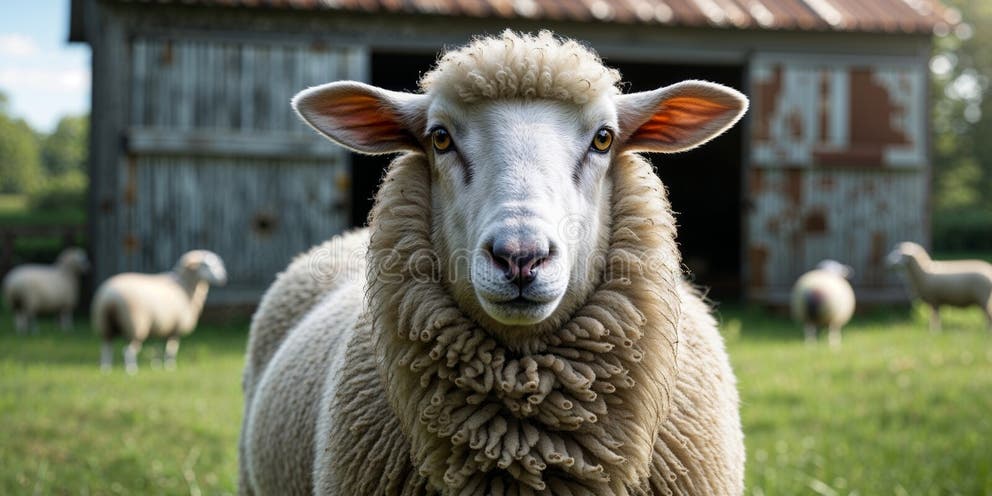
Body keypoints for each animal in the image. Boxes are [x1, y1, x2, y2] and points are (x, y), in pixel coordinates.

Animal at [91, 250, 227, 373]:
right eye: (206, 265)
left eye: (218, 263)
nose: (223, 278)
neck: (183, 287)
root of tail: (109, 298)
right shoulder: (175, 329)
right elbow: (171, 350)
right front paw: (170, 366)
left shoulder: (163, 326)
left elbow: (159, 347)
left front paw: (157, 365)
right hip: (135, 325)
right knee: (127, 351)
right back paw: (131, 370)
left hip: (106, 325)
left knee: (106, 348)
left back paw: (106, 369)